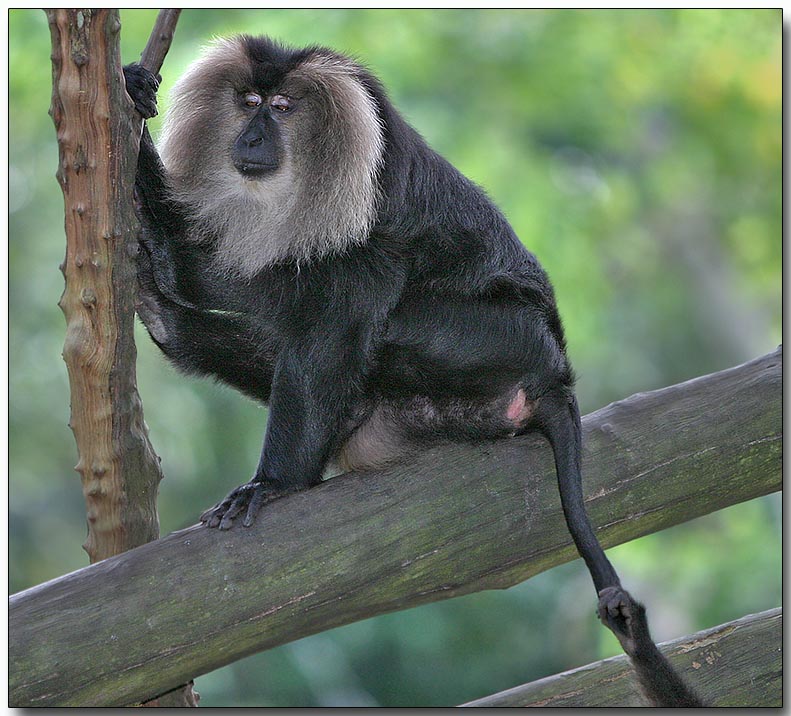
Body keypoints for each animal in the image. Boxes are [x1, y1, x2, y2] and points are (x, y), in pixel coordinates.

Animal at [123, 36, 703, 707]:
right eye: (247, 102)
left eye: (283, 107)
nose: (252, 137)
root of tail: (558, 376)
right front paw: (135, 96)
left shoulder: (365, 232)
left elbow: (326, 310)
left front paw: (274, 485)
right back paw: (183, 329)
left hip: (501, 340)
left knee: (356, 313)